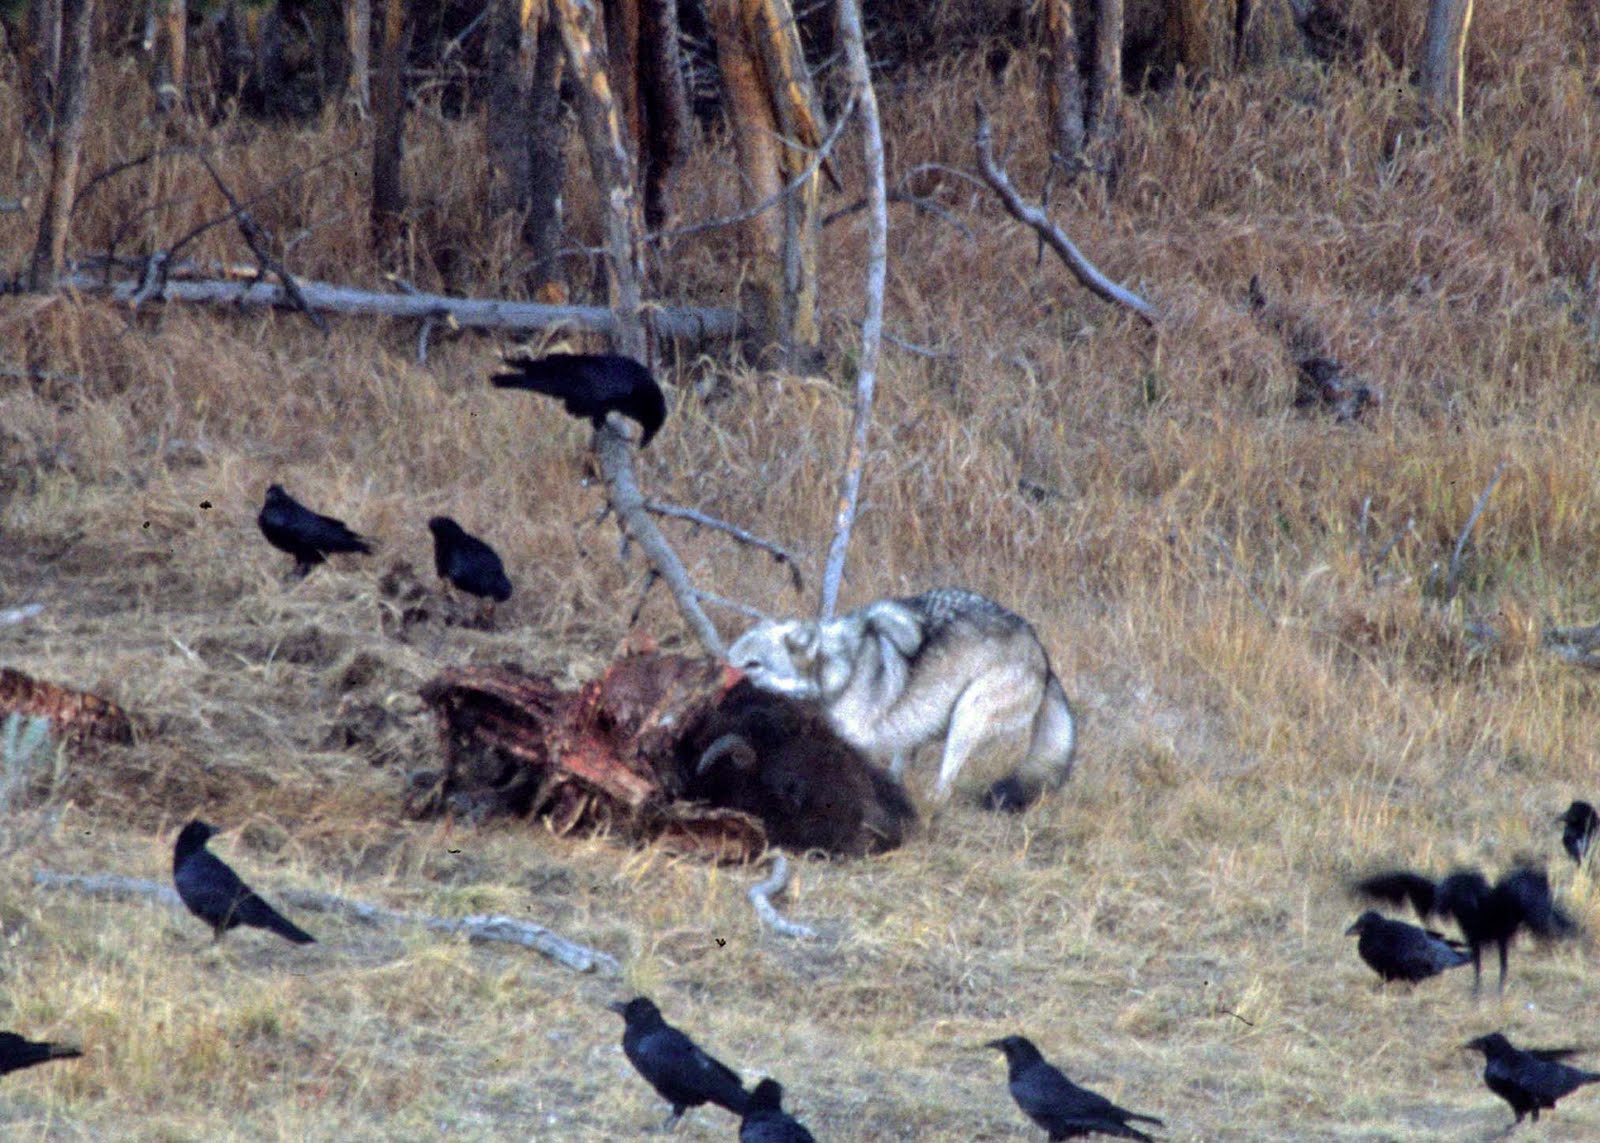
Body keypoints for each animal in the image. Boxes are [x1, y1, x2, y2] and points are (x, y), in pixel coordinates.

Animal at [726, 588, 1076, 810]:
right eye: (731, 658)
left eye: (753, 665)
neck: (840, 670)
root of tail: (1041, 651)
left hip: (965, 718)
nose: (718, 677)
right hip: (919, 724)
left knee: (945, 784)